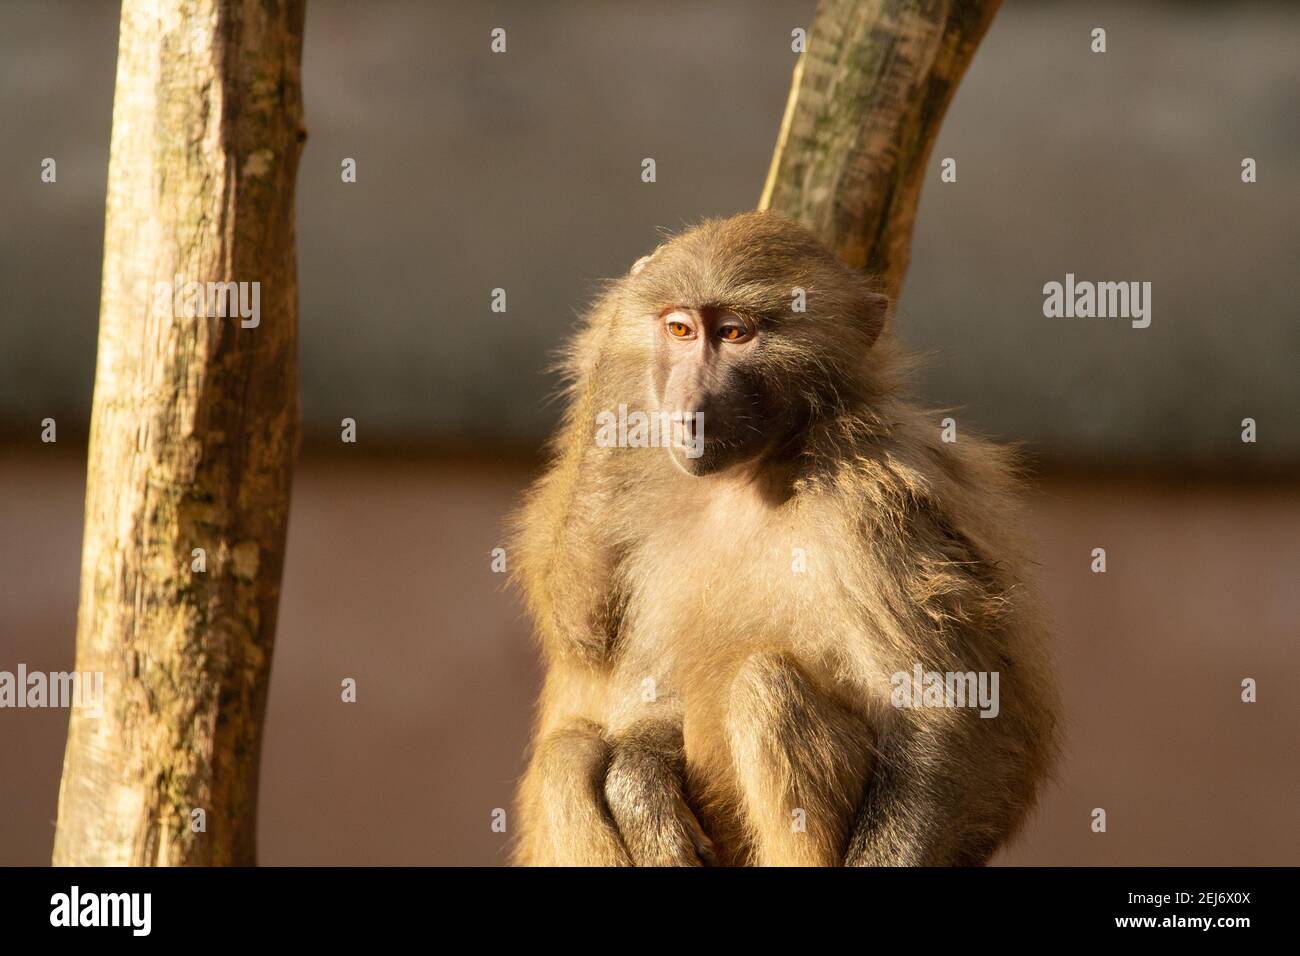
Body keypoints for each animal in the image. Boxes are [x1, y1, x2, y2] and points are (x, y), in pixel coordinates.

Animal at [510, 211, 1059, 866]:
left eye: (735, 333)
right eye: (680, 330)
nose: (689, 409)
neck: (758, 473)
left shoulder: (879, 497)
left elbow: (952, 718)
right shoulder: (639, 475)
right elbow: (593, 639)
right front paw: (641, 780)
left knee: (766, 687)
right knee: (569, 757)